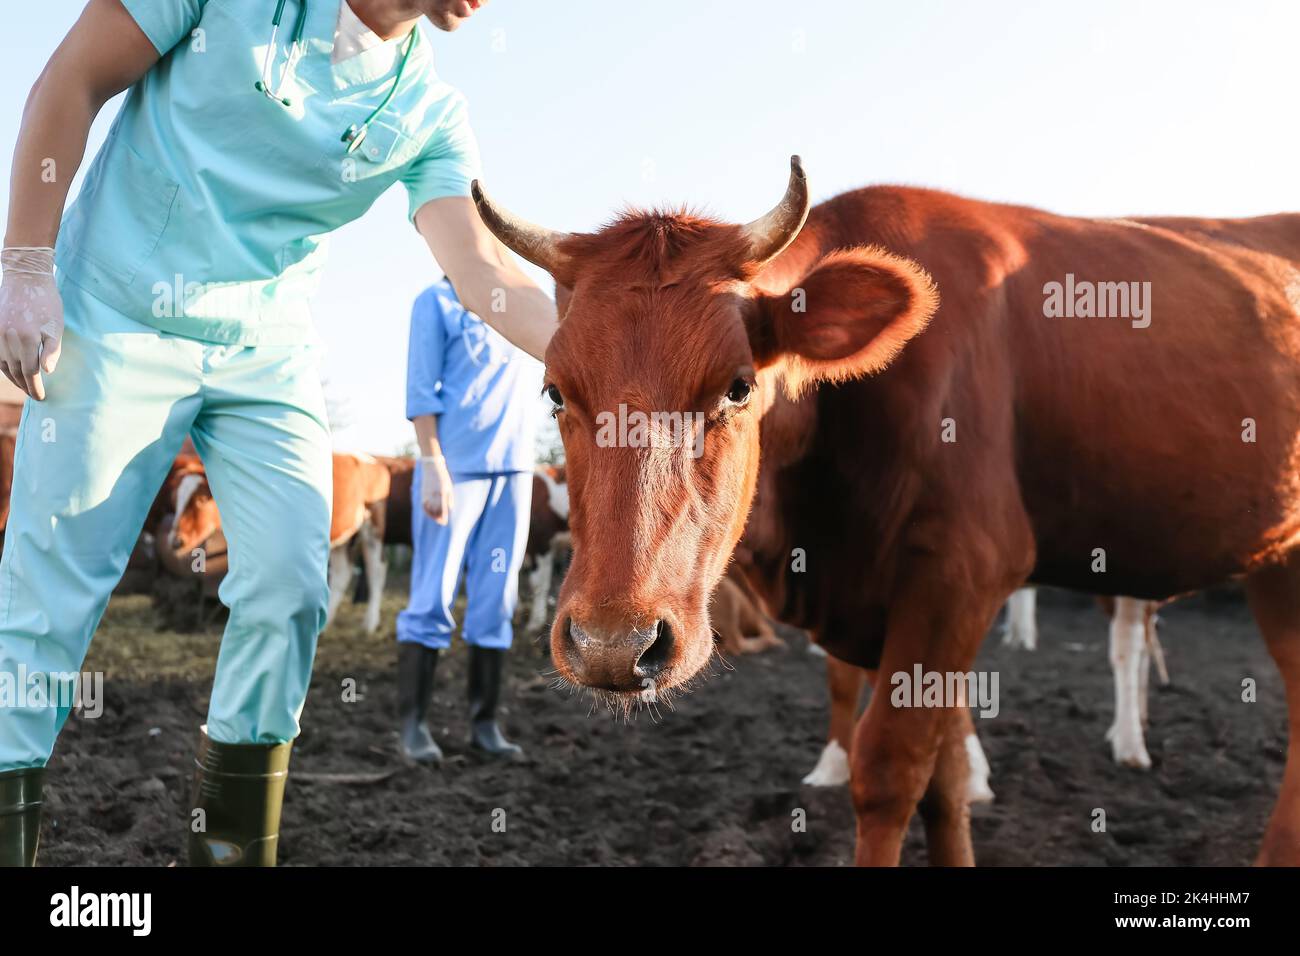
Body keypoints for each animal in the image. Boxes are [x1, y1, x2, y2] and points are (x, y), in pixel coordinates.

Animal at [471, 156, 1300, 866]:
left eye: (738, 386)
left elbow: (893, 772)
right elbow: (945, 780)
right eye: (554, 392)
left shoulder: (961, 575)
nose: (615, 645)